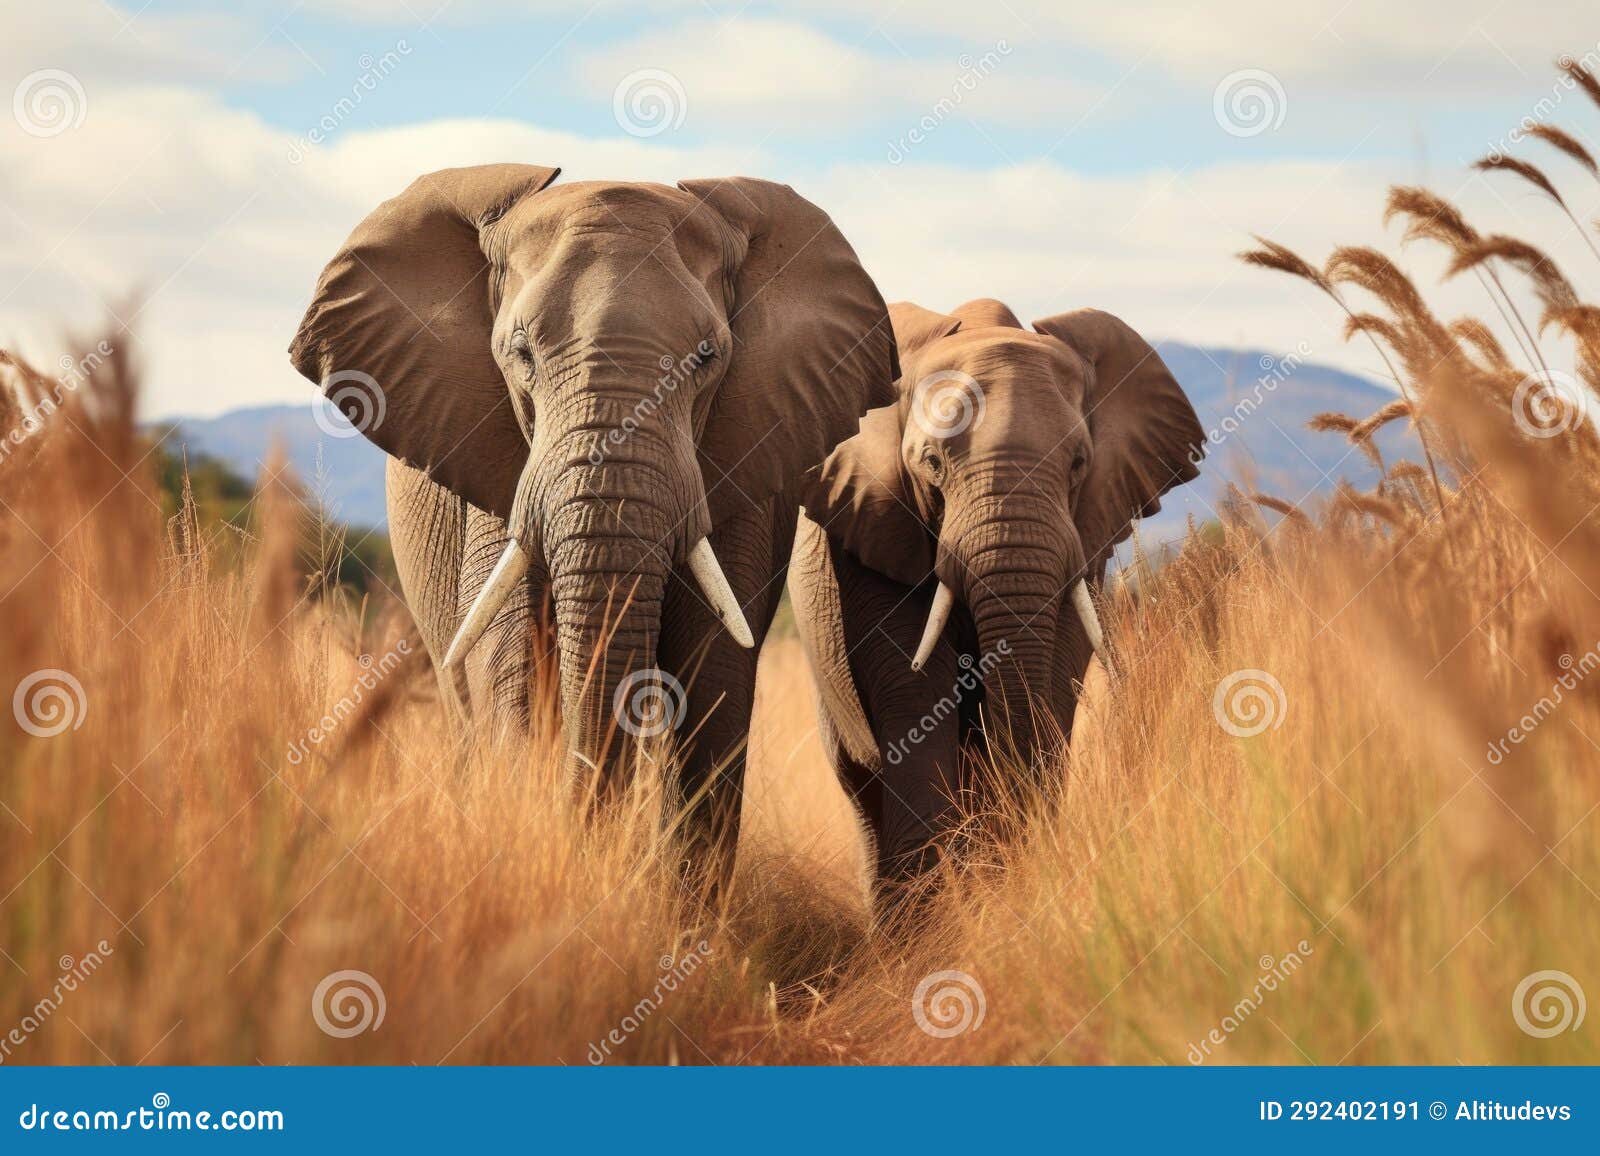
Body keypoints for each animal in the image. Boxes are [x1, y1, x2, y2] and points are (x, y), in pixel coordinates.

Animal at [788, 297, 1203, 909]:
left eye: (1078, 463)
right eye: (931, 462)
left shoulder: (1087, 534)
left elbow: (1055, 676)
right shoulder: (872, 523)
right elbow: (912, 692)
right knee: (862, 793)